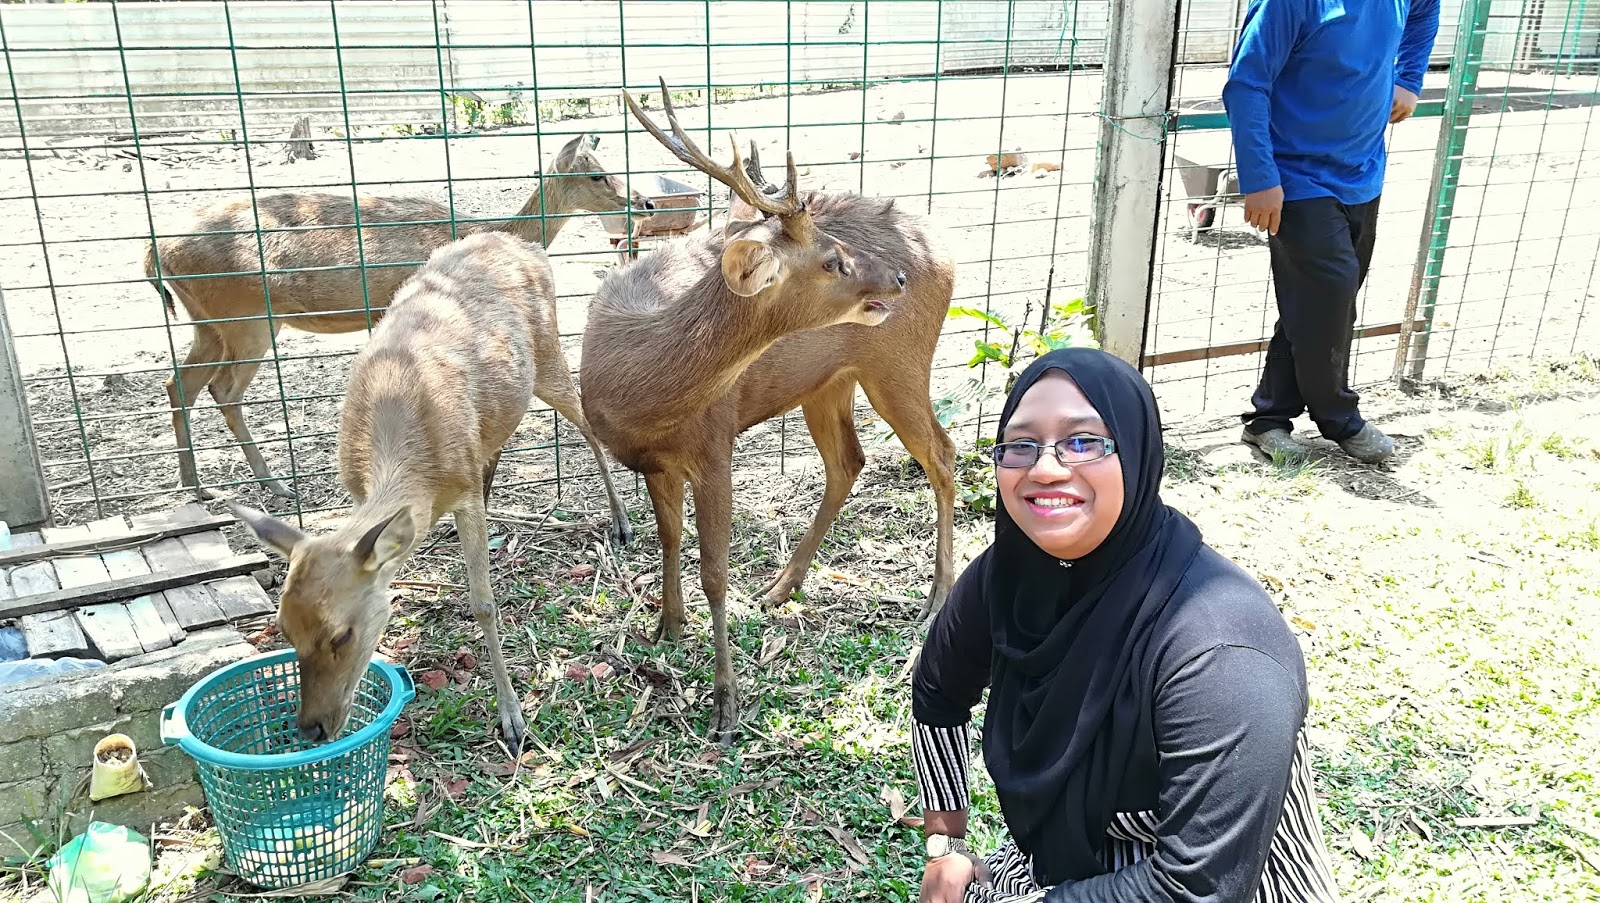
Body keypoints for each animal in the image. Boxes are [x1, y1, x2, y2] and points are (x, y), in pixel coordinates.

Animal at [146, 133, 645, 547]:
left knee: (180, 384)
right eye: (597, 173)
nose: (641, 202)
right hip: (247, 318)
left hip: (208, 322)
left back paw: (199, 486)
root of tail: (154, 253)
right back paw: (269, 484)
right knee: (222, 388)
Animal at [228, 230, 570, 750]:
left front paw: (512, 718)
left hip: (551, 354)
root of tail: (521, 240)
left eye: (341, 635)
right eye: (283, 630)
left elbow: (484, 602)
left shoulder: (462, 486)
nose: (311, 728)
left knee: (587, 418)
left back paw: (622, 522)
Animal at [578, 78, 958, 743]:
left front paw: (725, 705)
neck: (636, 389)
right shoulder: (653, 461)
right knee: (850, 461)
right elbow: (668, 537)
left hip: (899, 363)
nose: (898, 278)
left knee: (943, 452)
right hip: (828, 383)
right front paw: (667, 627)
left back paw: (937, 597)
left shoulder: (715, 443)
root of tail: (947, 253)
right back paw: (782, 586)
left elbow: (714, 568)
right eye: (833, 259)